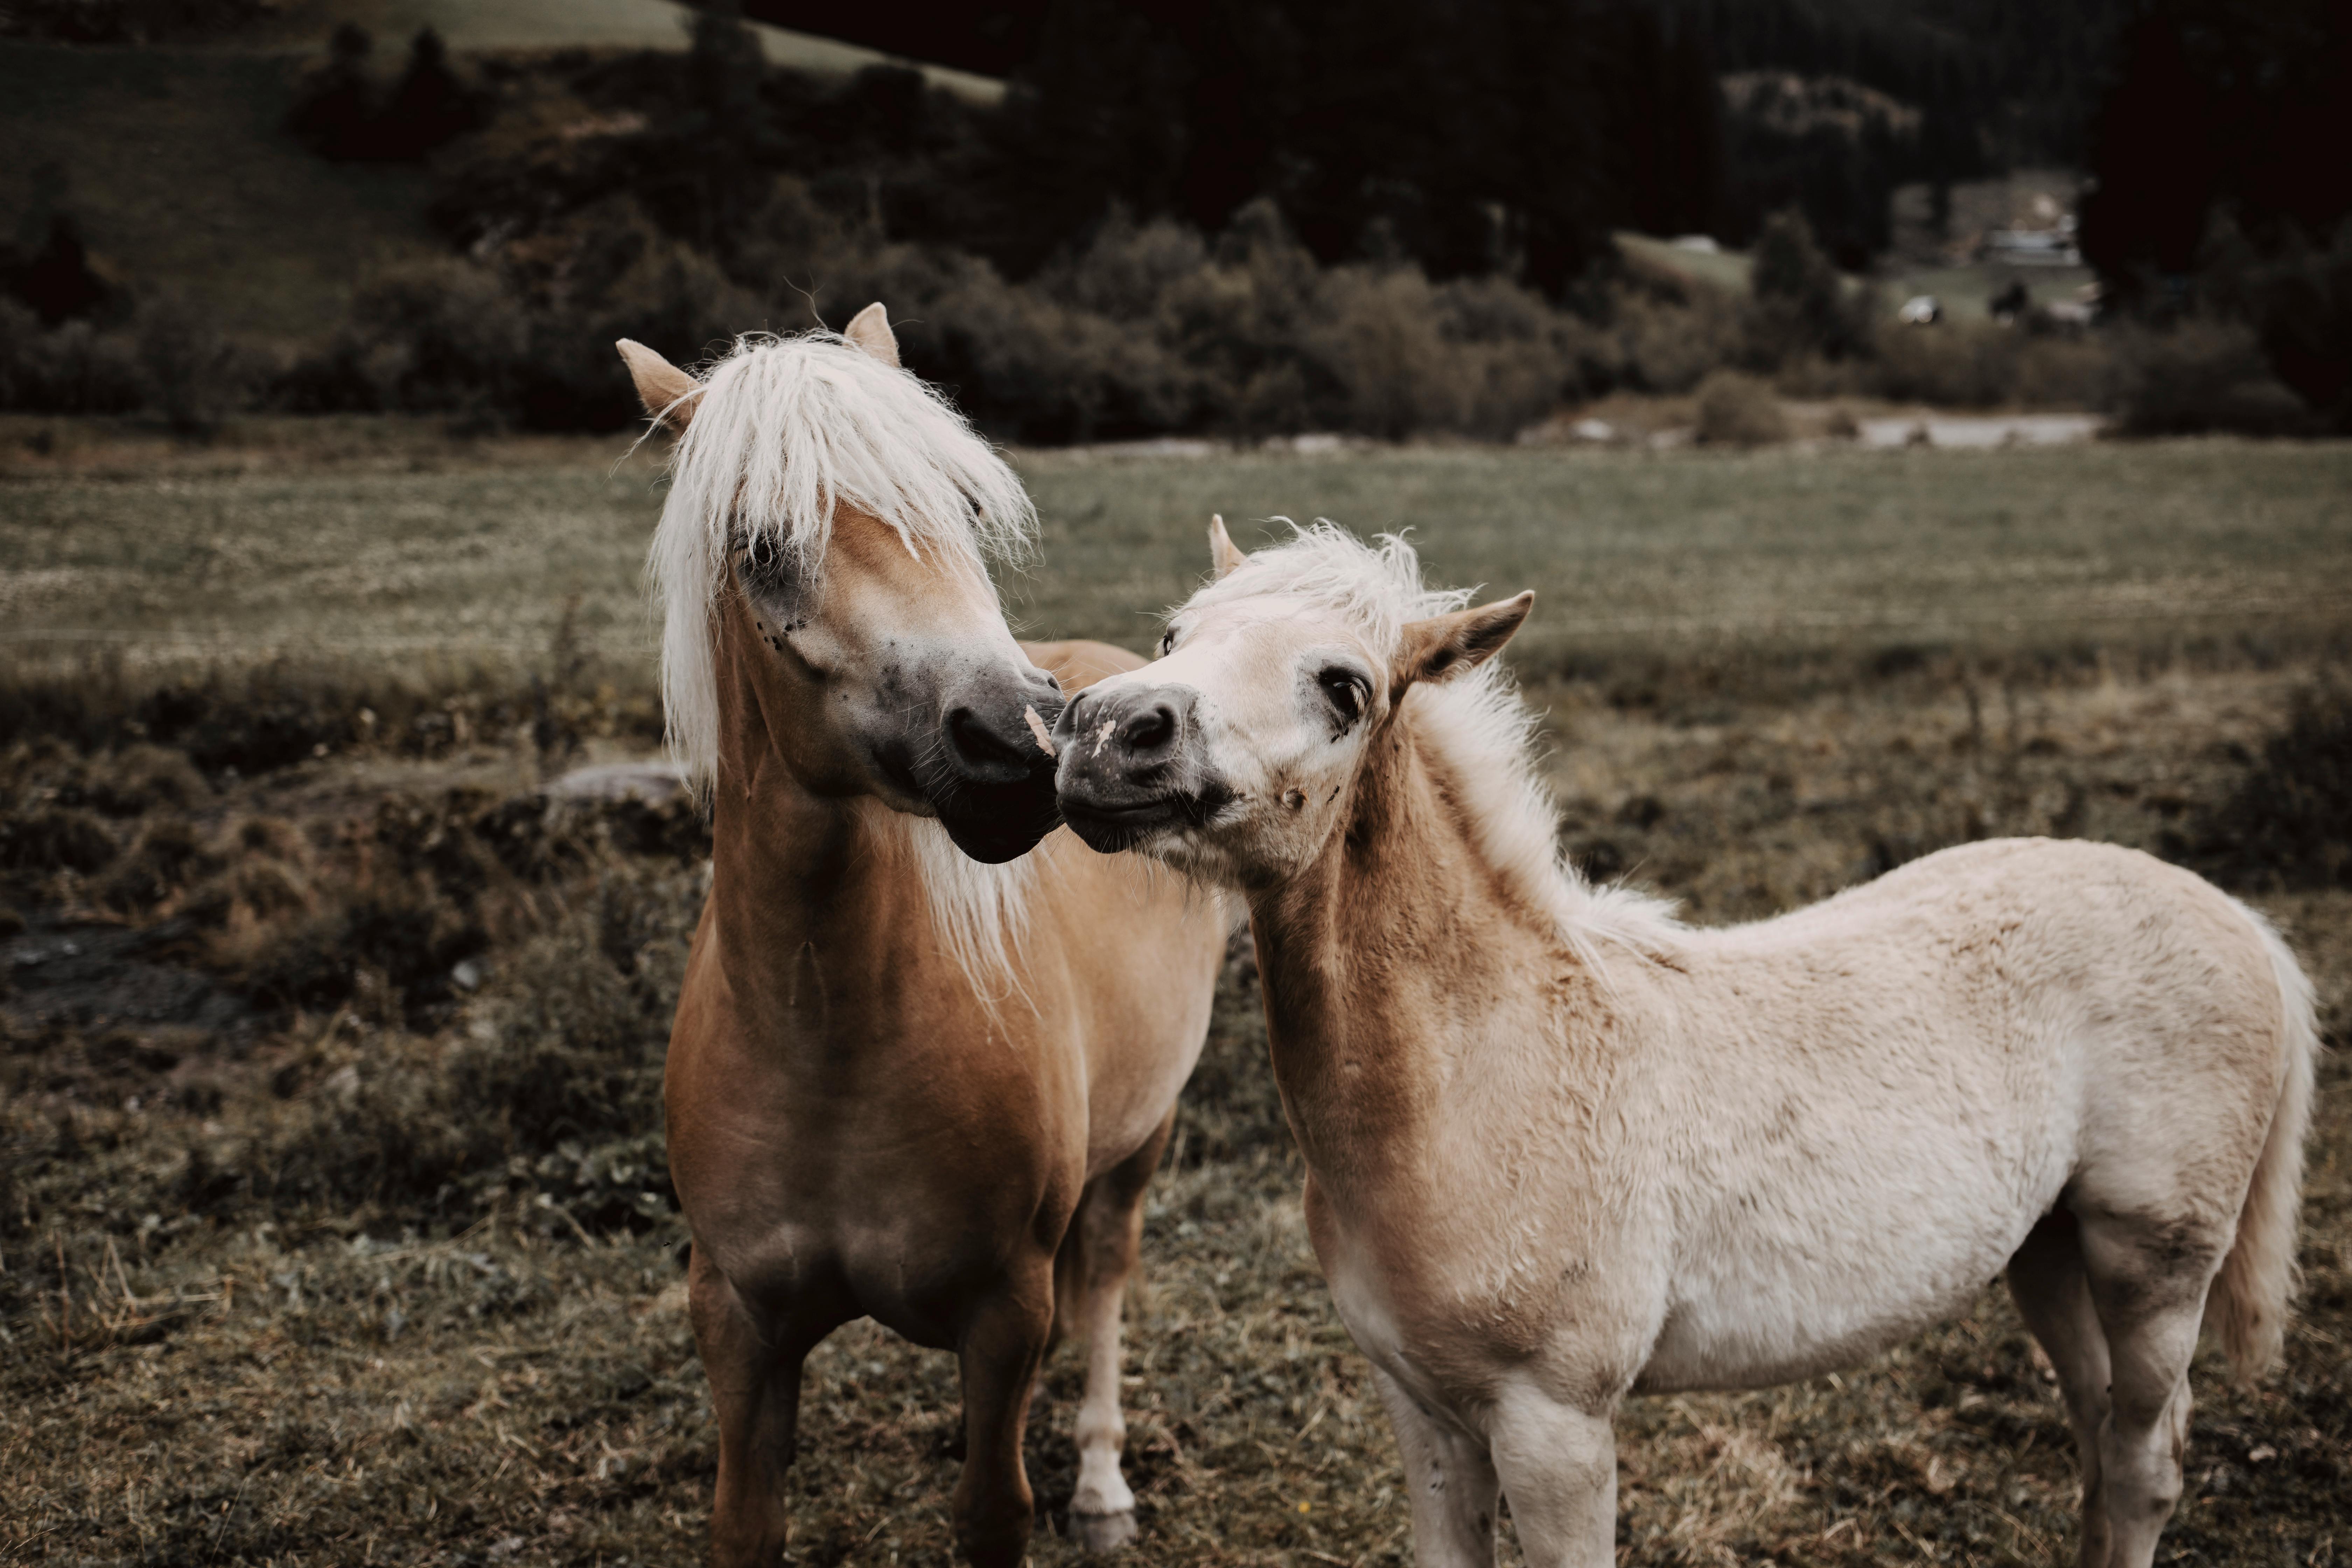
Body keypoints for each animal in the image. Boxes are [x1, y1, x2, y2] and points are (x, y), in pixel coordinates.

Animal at [618, 310, 1228, 1567]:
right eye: (762, 545)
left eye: (958, 508)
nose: (1020, 742)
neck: (829, 1037)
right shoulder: (736, 1322)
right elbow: (746, 1518)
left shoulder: (1004, 1314)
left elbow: (994, 1508)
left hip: (1140, 1143)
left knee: (1106, 1281)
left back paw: (1104, 1486)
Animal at [1051, 518, 2317, 1568]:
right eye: (1173, 635)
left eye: (1344, 687)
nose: (1112, 732)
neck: (1483, 1068)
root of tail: (2240, 920)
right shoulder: (1424, 1411)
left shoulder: (1557, 1425)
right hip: (2047, 1251)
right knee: (2098, 1440)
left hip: (2154, 1263)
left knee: (2147, 1464)